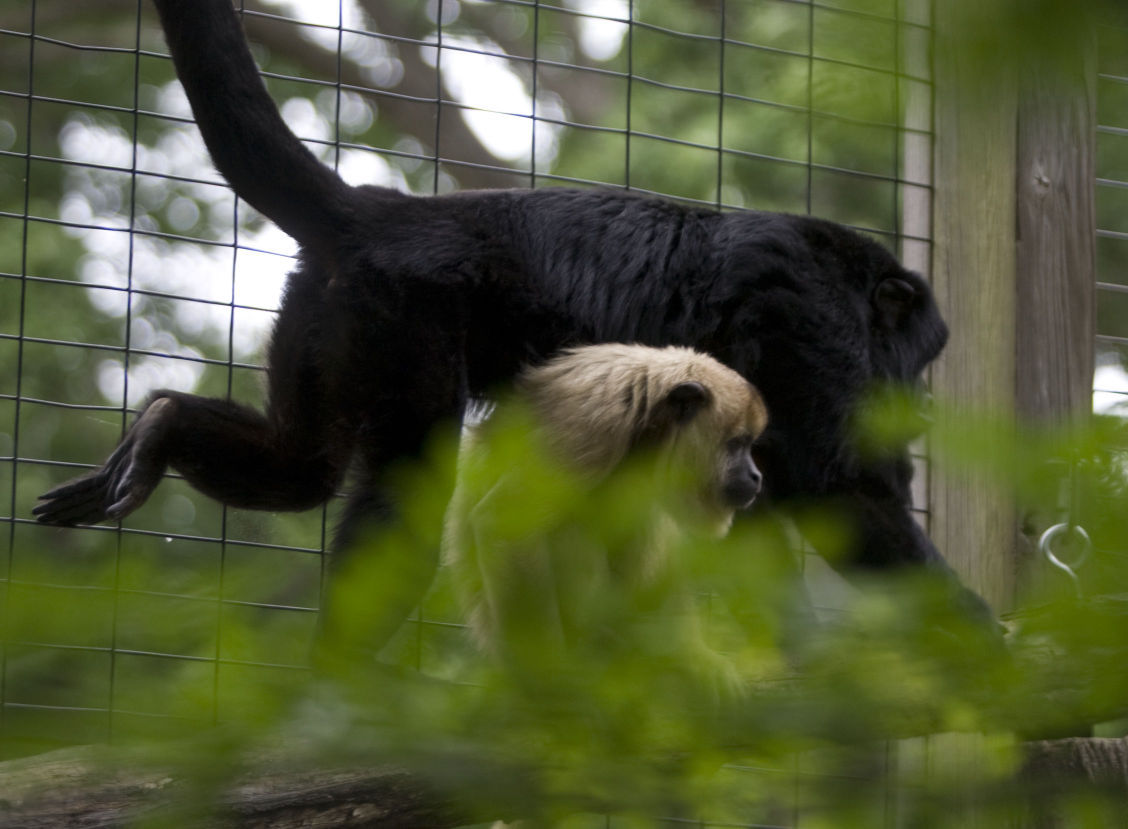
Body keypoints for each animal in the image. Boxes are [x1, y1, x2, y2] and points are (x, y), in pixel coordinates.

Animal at [33, 0, 994, 638]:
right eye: (918, 358)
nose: (920, 398)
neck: (848, 285)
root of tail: (382, 213)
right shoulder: (806, 318)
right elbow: (840, 486)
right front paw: (983, 635)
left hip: (330, 306)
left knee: (304, 464)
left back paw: (163, 425)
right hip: (406, 312)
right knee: (402, 484)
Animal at [443, 344, 767, 692]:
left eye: (749, 444)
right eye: (737, 443)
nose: (756, 476)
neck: (646, 416)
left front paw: (694, 658)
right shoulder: (589, 424)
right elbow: (505, 521)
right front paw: (547, 672)